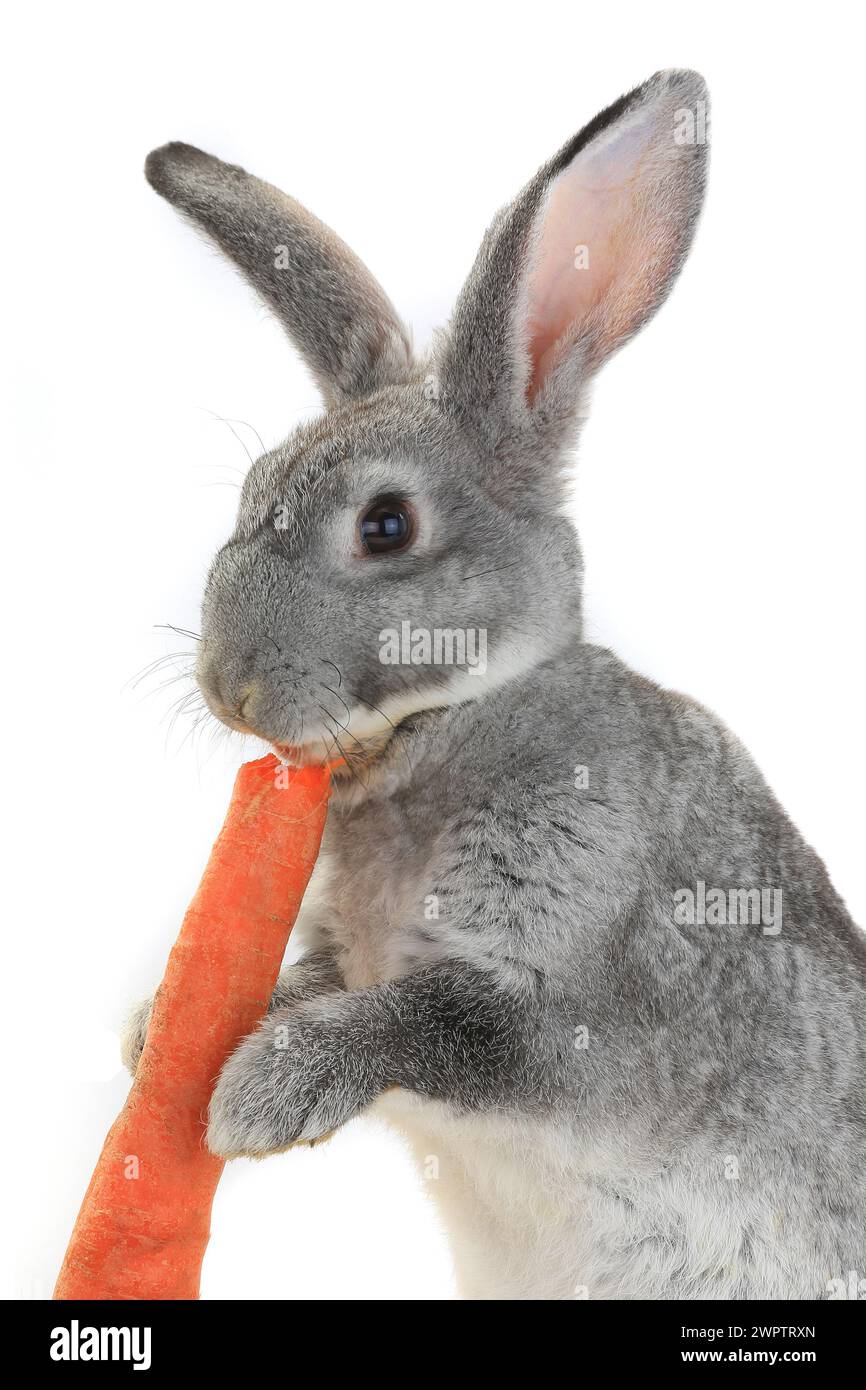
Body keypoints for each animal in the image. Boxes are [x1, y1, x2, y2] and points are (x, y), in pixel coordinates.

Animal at [126, 69, 866, 1300]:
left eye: (385, 526)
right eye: (252, 485)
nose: (229, 688)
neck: (458, 723)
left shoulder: (574, 998)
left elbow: (426, 1021)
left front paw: (259, 1096)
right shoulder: (342, 949)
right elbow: (318, 979)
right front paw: (154, 1035)